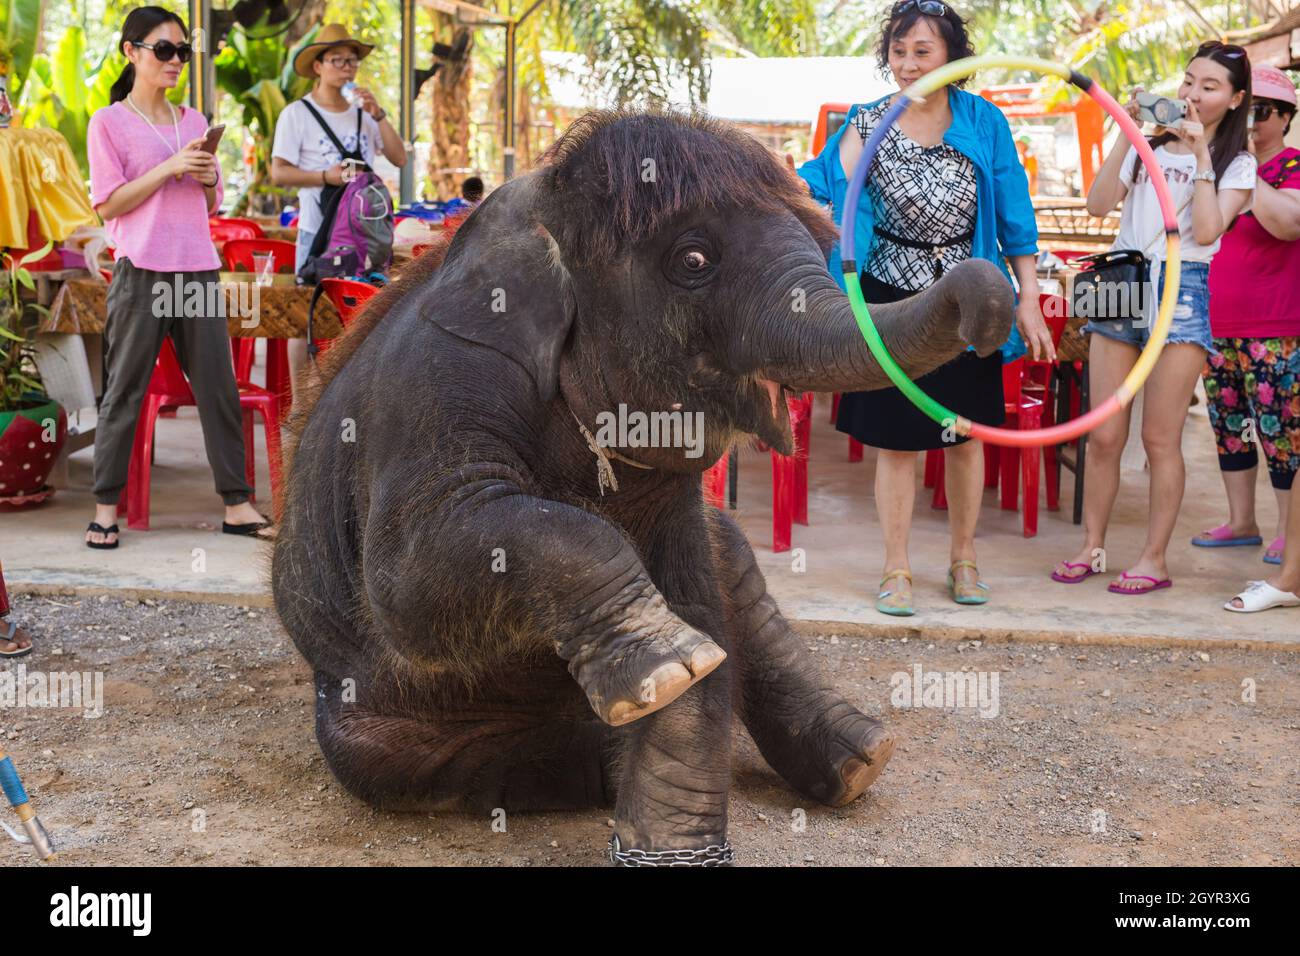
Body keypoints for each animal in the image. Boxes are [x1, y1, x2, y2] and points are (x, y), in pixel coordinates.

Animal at [271, 109, 1013, 866]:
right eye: (693, 261)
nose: (986, 286)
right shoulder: (436, 379)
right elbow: (405, 583)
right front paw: (671, 667)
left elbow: (697, 593)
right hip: (367, 729)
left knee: (741, 578)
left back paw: (863, 759)